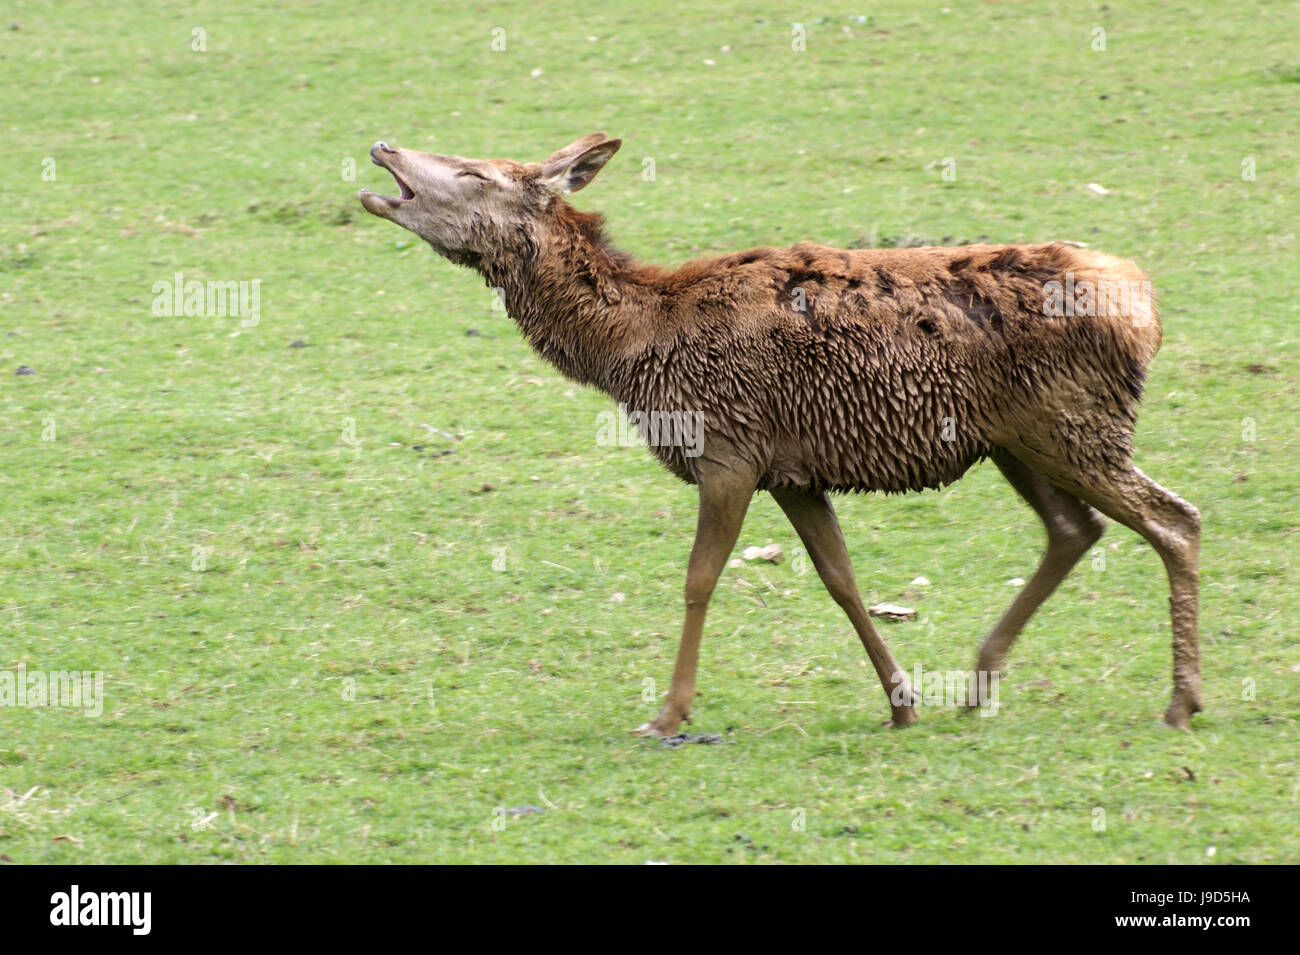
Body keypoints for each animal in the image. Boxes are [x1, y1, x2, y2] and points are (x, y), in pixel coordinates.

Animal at [358, 133, 1203, 736]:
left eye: (475, 171)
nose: (383, 150)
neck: (629, 349)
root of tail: (1149, 308)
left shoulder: (728, 448)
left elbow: (700, 577)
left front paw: (668, 713)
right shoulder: (794, 472)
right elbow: (842, 578)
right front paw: (901, 701)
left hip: (1073, 423)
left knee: (1175, 519)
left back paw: (1182, 699)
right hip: (1017, 439)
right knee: (1075, 528)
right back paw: (979, 680)